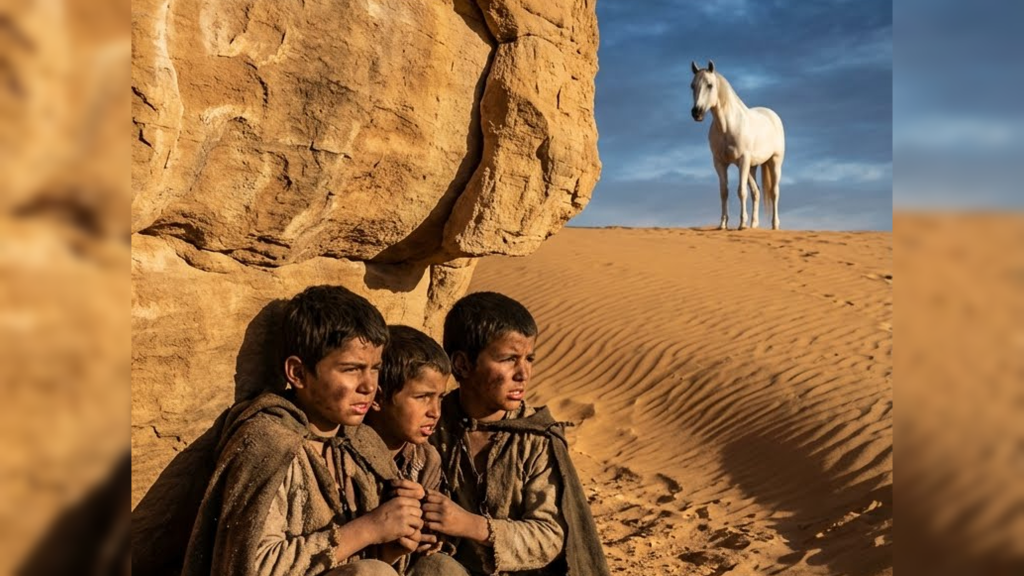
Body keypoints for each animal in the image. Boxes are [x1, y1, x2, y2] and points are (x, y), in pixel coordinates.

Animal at [690, 60, 786, 230]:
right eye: (692, 86)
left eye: (710, 85)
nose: (697, 113)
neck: (728, 126)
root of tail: (772, 115)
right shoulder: (720, 163)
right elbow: (724, 192)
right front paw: (723, 224)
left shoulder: (743, 160)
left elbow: (741, 191)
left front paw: (742, 224)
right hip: (752, 167)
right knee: (756, 191)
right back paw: (754, 224)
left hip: (774, 162)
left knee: (774, 192)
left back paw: (775, 225)